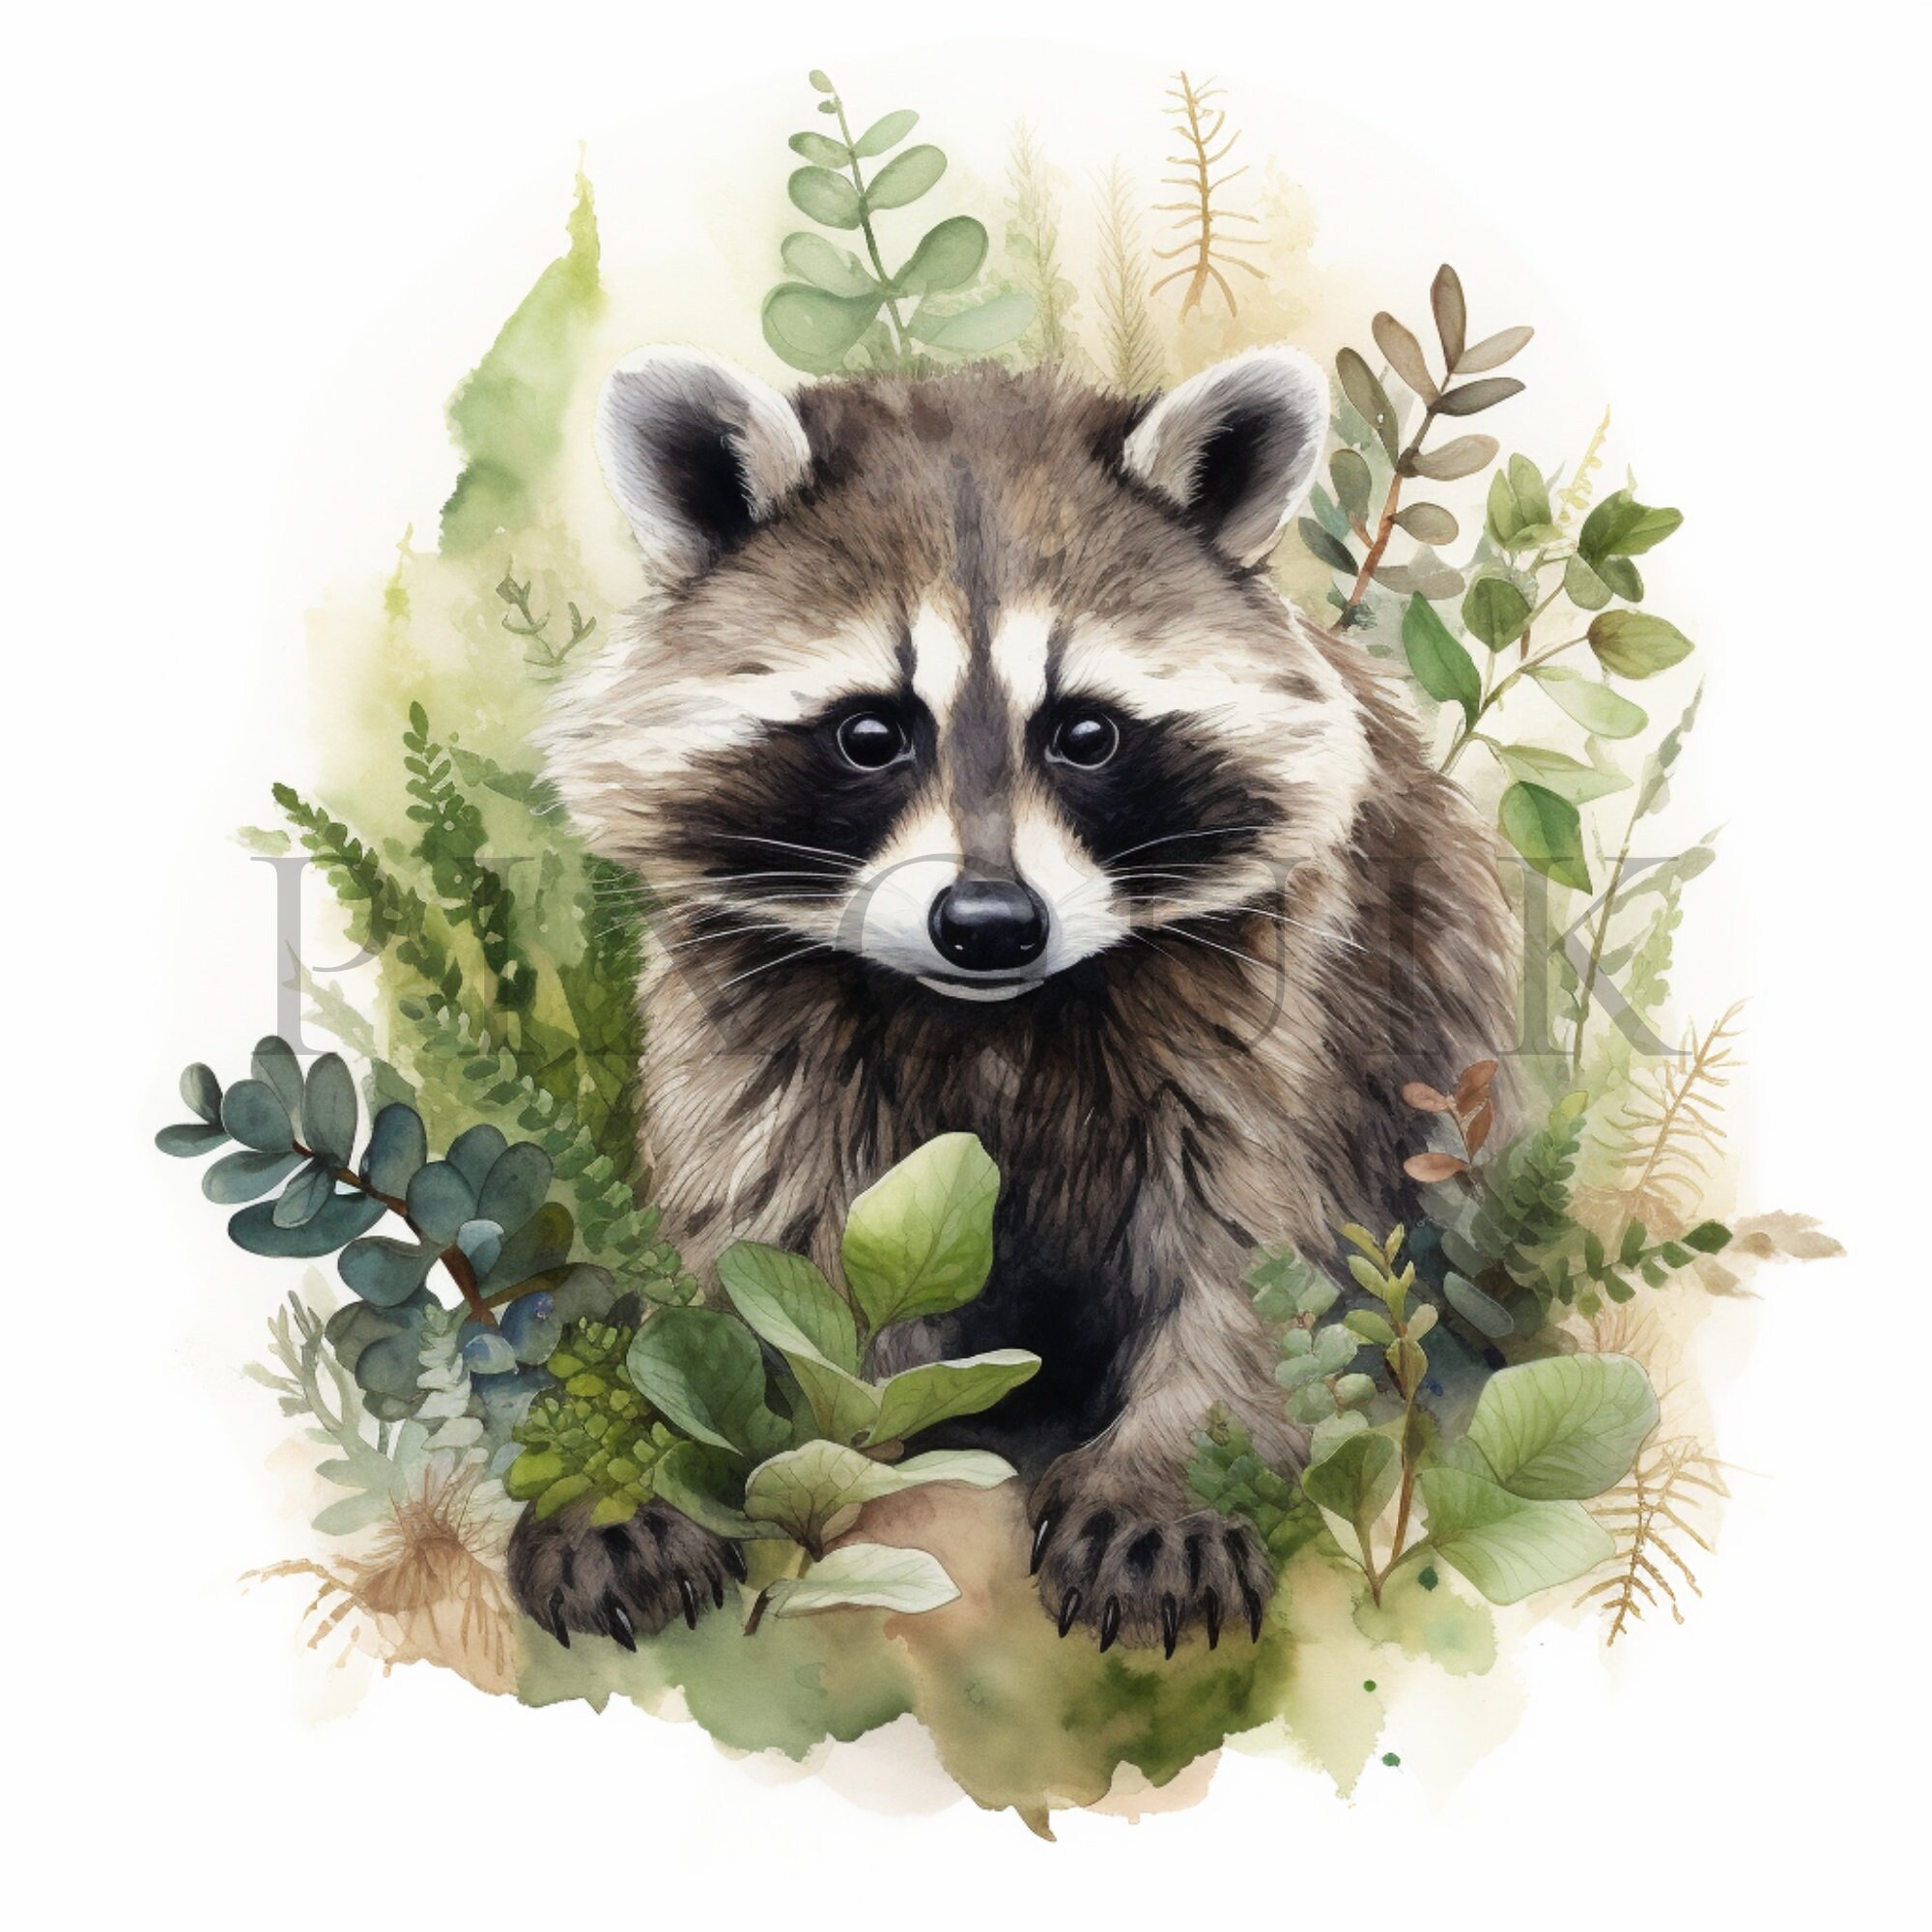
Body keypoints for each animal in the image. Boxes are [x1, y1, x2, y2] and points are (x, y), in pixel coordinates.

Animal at [507, 344, 1514, 1656]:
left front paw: (1176, 1464)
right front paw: (634, 1452)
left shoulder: (1281, 993)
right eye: (869, 732)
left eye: (1084, 733)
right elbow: (750, 1235)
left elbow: (1251, 1235)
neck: (982, 1012)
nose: (989, 923)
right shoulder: (746, 1013)